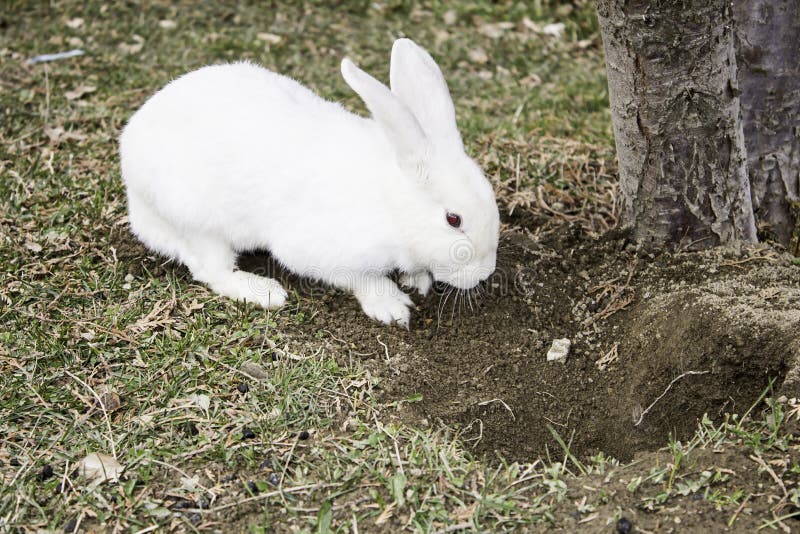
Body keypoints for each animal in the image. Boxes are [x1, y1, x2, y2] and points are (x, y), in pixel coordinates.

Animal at [119, 38, 499, 327]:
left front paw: (417, 280)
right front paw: (392, 306)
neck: (393, 206)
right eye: (453, 220)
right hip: (197, 222)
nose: (484, 274)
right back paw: (264, 291)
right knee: (211, 270)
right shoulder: (321, 250)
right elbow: (360, 278)